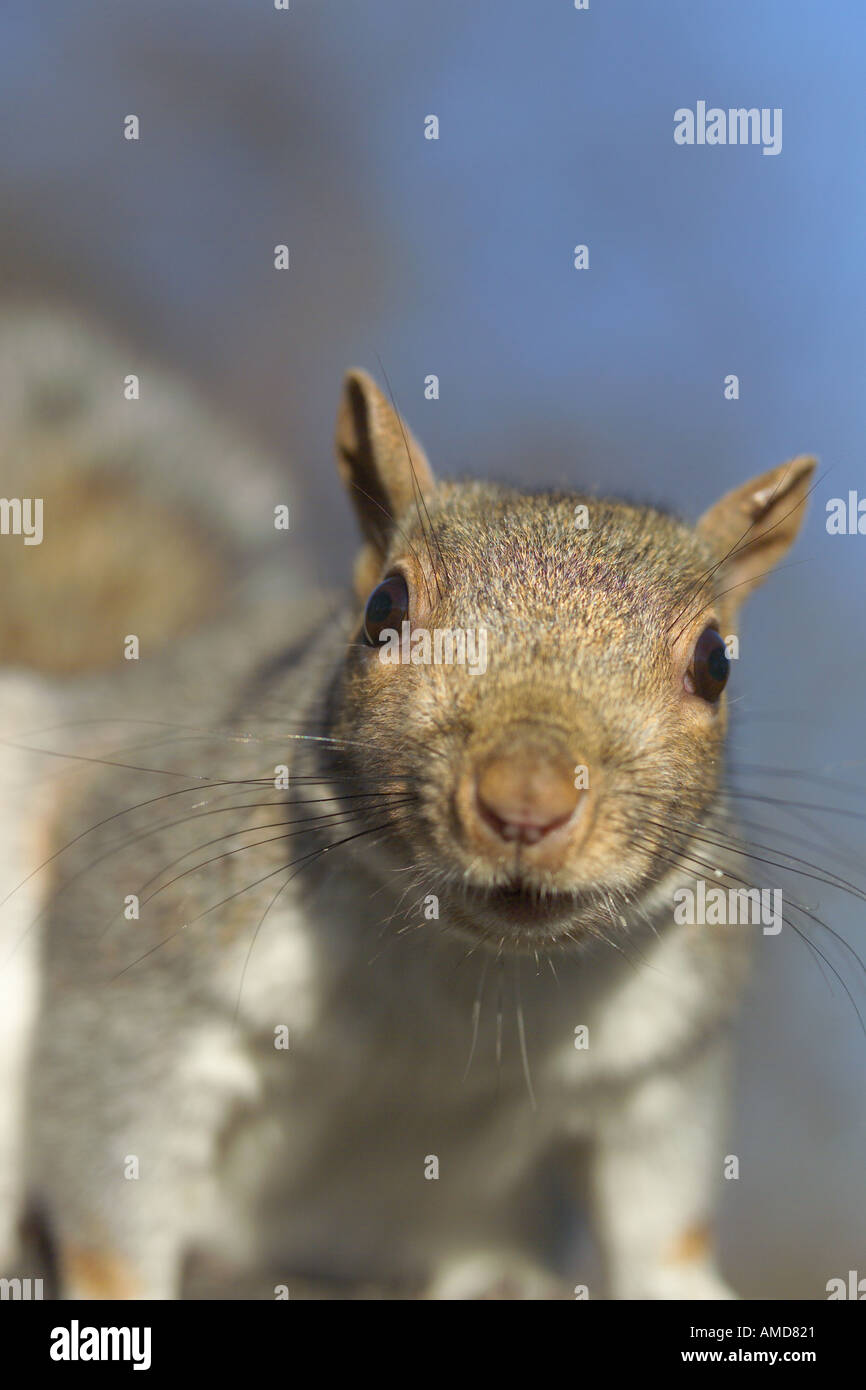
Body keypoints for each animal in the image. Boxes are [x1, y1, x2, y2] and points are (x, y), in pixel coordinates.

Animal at [0, 316, 816, 1299]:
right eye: (382, 608)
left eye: (715, 662)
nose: (526, 802)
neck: (465, 964)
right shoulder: (139, 969)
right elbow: (110, 1191)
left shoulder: (665, 1059)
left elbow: (664, 1225)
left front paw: (686, 1283)